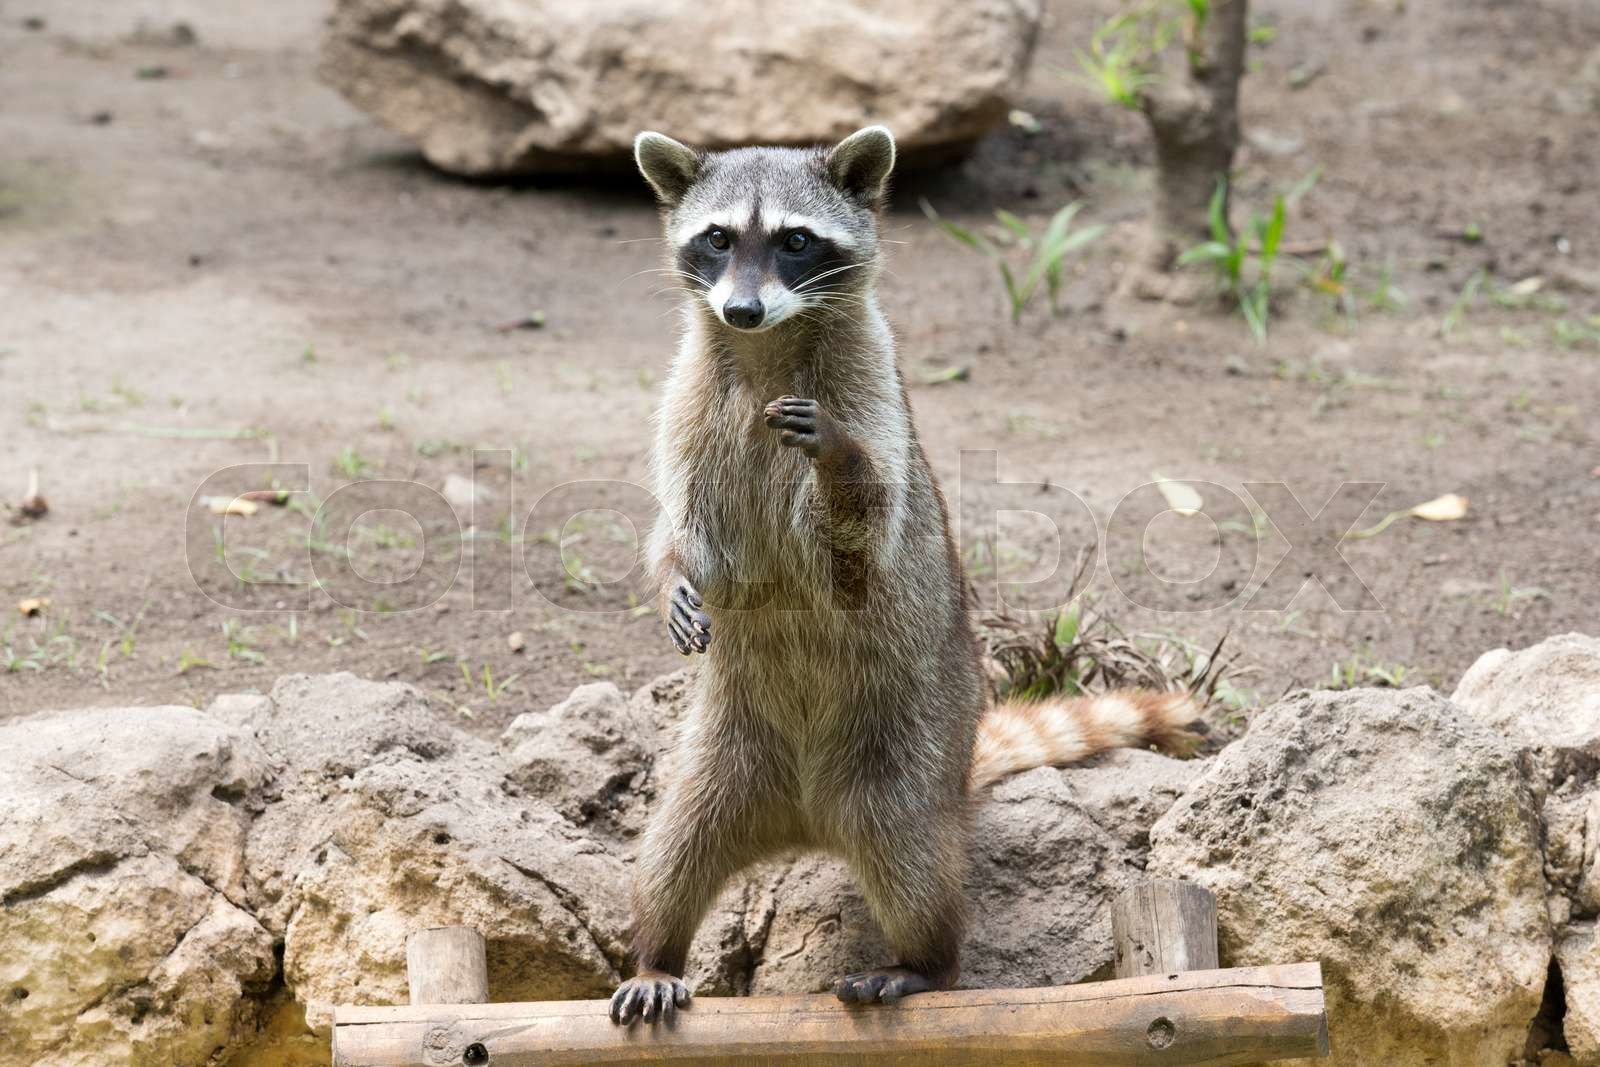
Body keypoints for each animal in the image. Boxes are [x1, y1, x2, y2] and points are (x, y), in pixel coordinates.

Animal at [611, 126, 1197, 1025]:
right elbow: (682, 527)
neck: (766, 344)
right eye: (717, 238)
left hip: (908, 749)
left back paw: (927, 960)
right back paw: (654, 950)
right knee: (670, 851)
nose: (741, 308)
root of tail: (806, 824)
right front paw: (670, 571)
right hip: (719, 758)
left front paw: (839, 465)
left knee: (913, 859)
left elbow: (865, 529)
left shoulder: (870, 391)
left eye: (795, 241)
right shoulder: (690, 403)